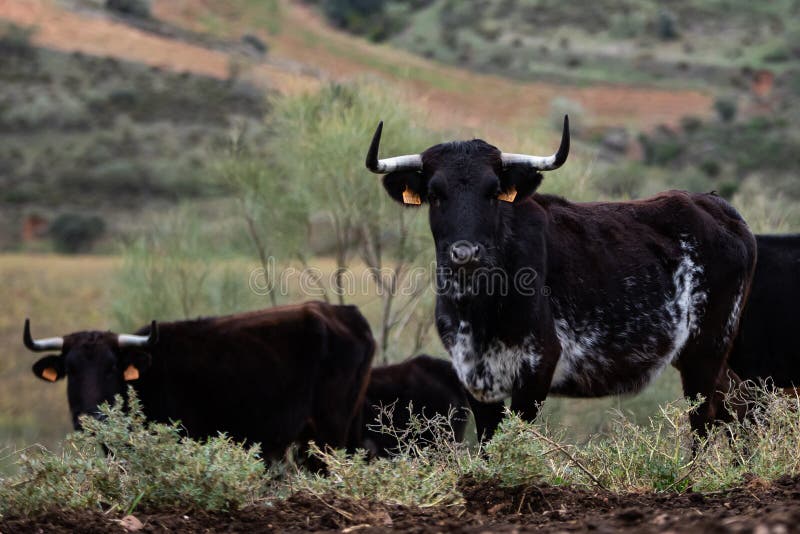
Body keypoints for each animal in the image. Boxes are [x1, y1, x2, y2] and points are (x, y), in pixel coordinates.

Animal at [364, 117, 757, 441]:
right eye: (434, 194)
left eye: (492, 192)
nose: (465, 253)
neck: (479, 306)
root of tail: (718, 207)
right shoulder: (472, 374)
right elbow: (490, 441)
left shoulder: (538, 365)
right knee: (738, 402)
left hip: (707, 347)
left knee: (705, 418)